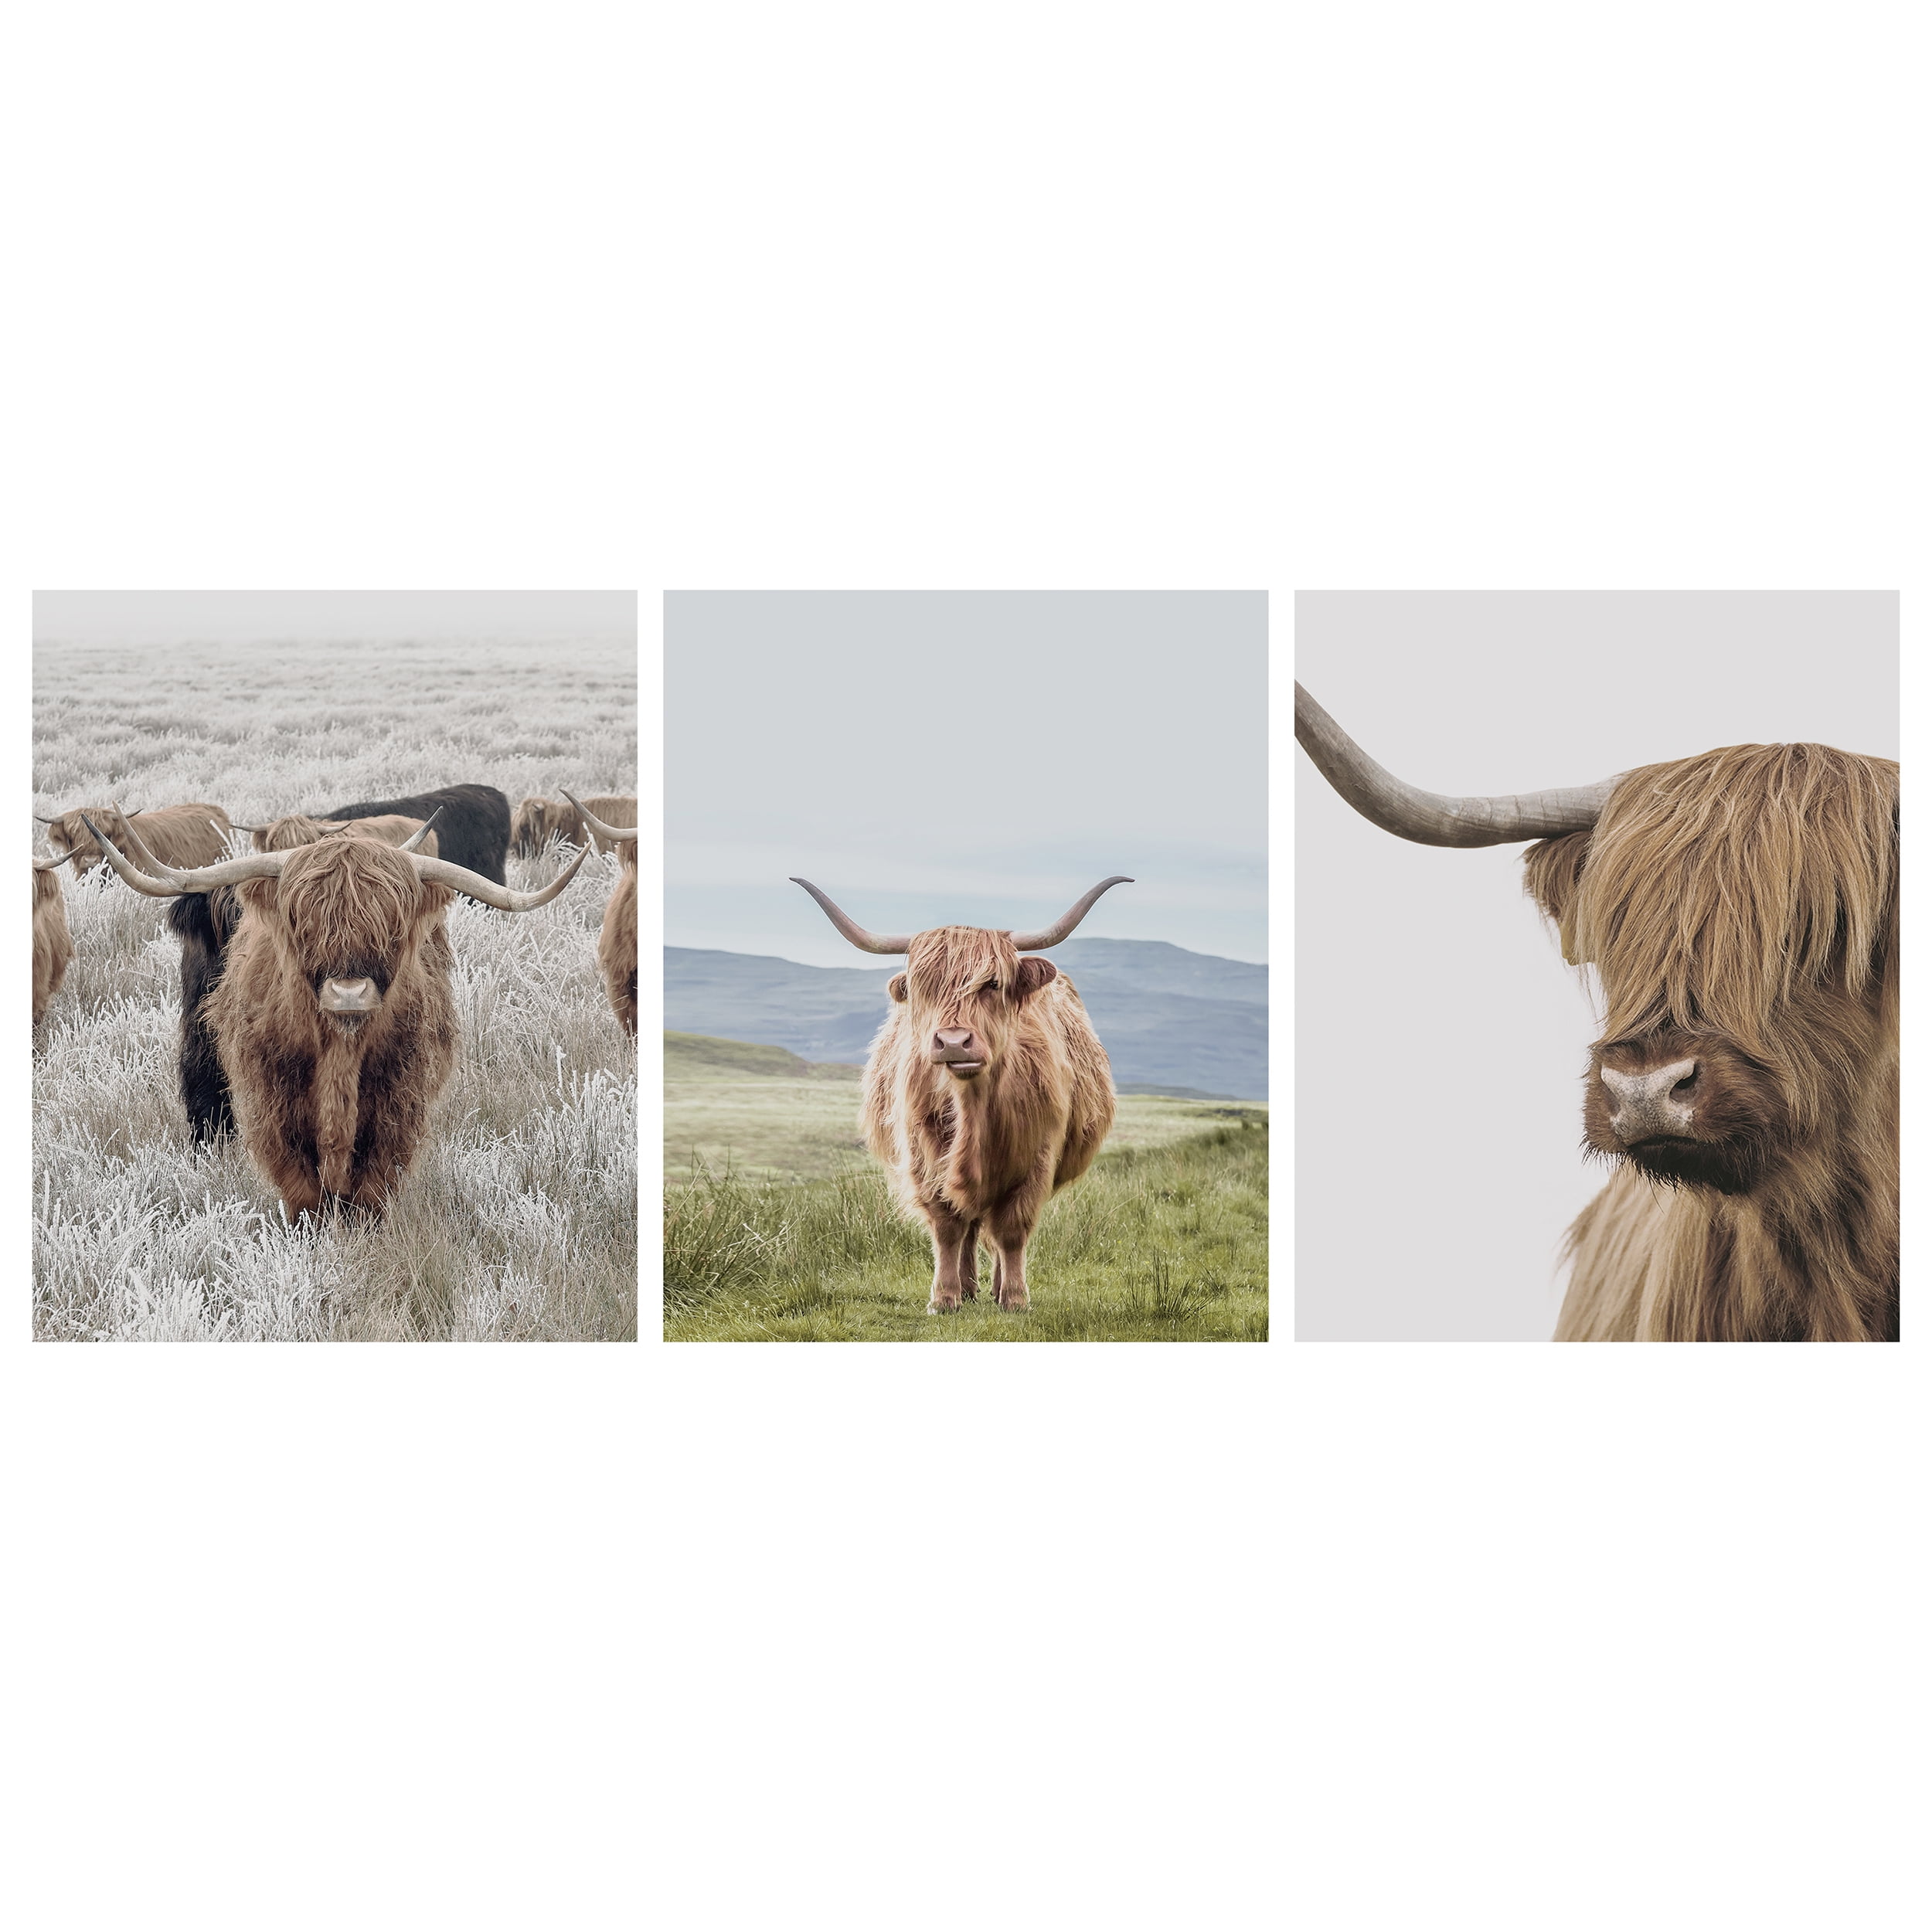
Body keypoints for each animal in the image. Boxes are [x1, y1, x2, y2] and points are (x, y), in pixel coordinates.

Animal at [87, 811, 588, 1216]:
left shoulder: (400, 1100)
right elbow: (301, 1186)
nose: (349, 993)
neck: (339, 1052)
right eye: (301, 922)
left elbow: (373, 1186)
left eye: (392, 925)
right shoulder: (271, 1099)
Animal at [792, 875, 1131, 1313]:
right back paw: (968, 1287)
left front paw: (1015, 1298)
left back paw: (996, 1287)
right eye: (923, 987)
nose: (953, 1042)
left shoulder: (1037, 1158)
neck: (973, 1108)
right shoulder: (924, 1155)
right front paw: (944, 1297)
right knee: (969, 1224)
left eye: (993, 984)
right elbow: (948, 1225)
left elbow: (1012, 1229)